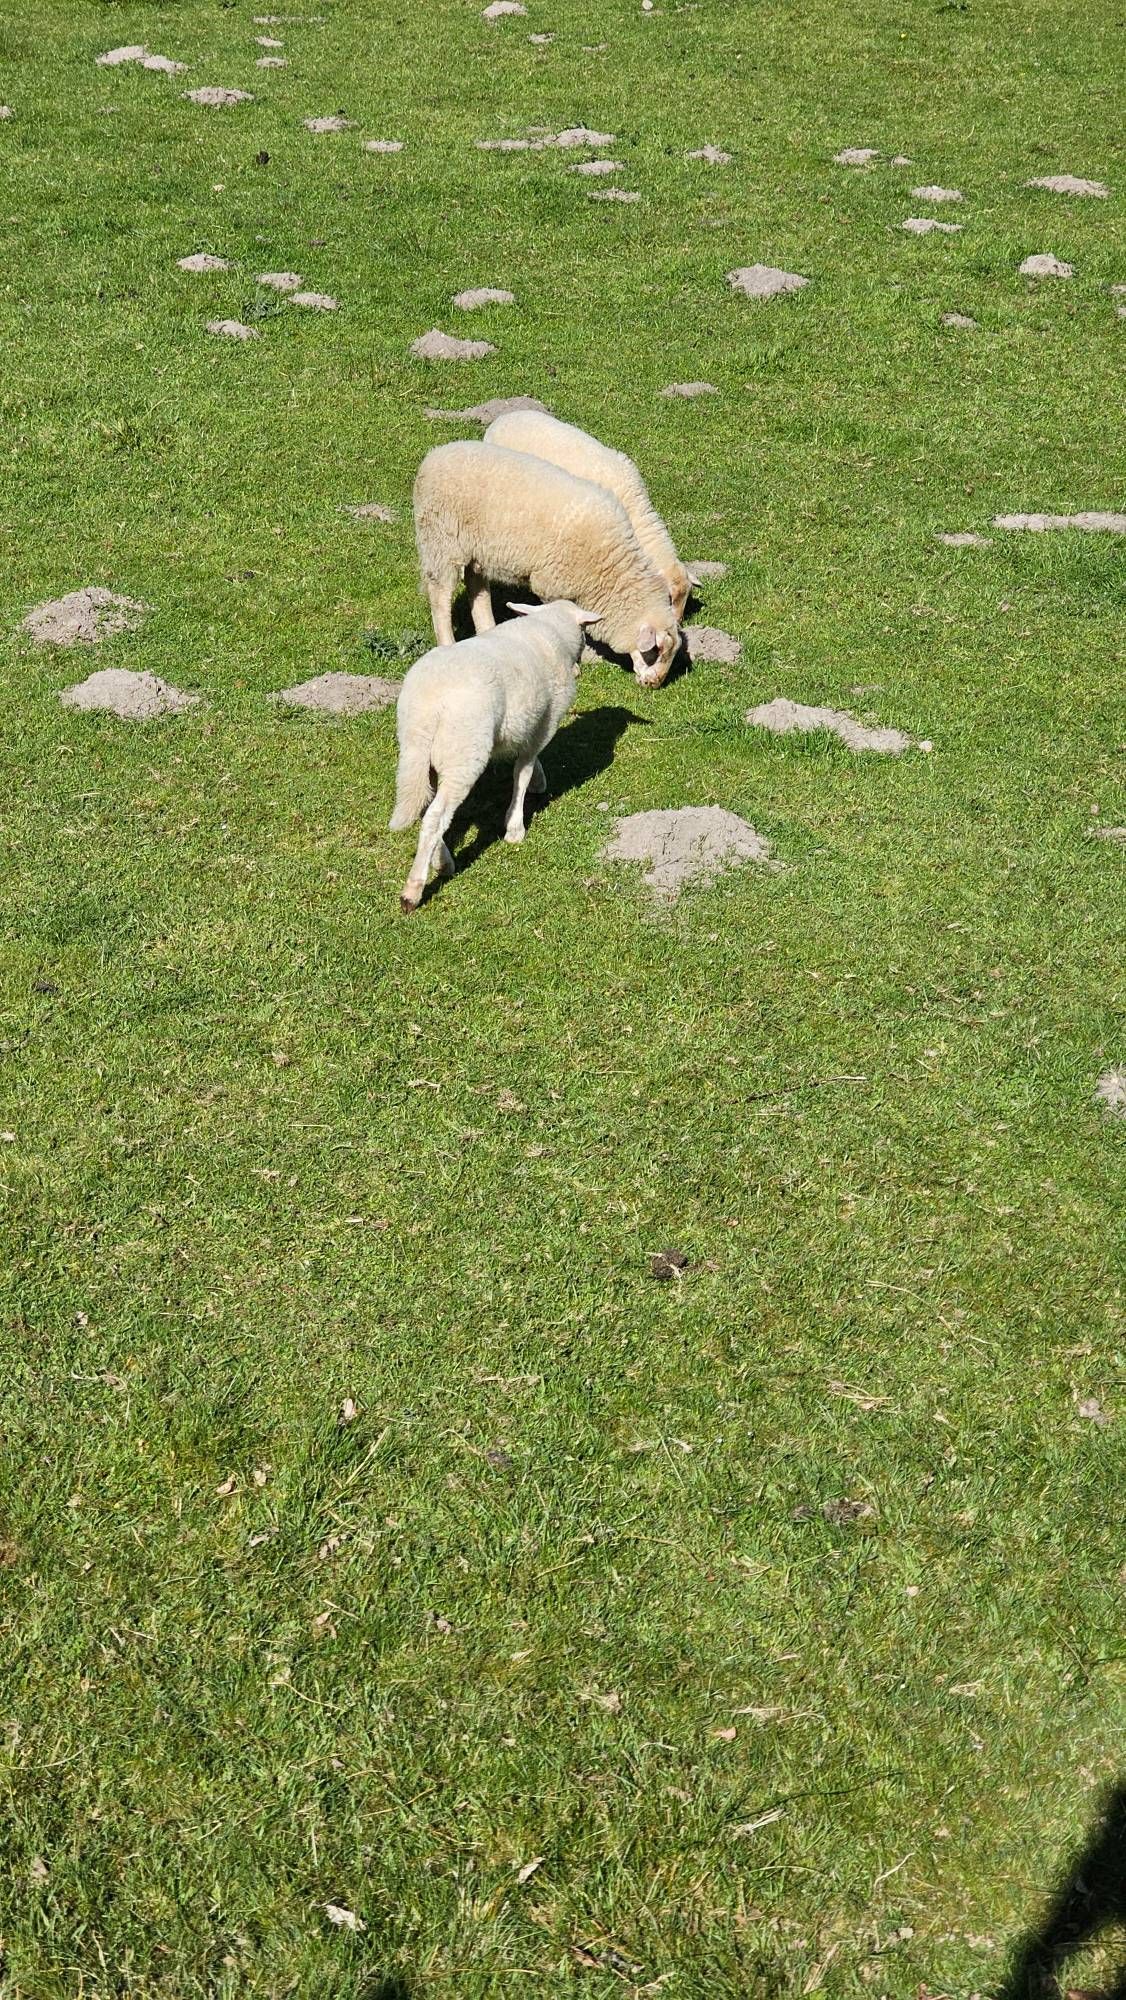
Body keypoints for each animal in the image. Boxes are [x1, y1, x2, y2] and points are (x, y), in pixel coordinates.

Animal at [389, 598, 597, 911]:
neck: (550, 628)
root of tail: (427, 706)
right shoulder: (545, 723)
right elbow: (522, 770)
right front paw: (515, 826)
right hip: (464, 751)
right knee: (437, 815)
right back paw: (413, 890)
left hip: (421, 753)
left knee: (427, 804)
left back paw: (441, 860)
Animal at [412, 440, 681, 688]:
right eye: (655, 650)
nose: (655, 685)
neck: (610, 568)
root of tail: (435, 454)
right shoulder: (552, 584)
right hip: (440, 541)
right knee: (440, 597)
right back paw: (447, 642)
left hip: (476, 552)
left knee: (476, 589)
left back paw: (488, 630)